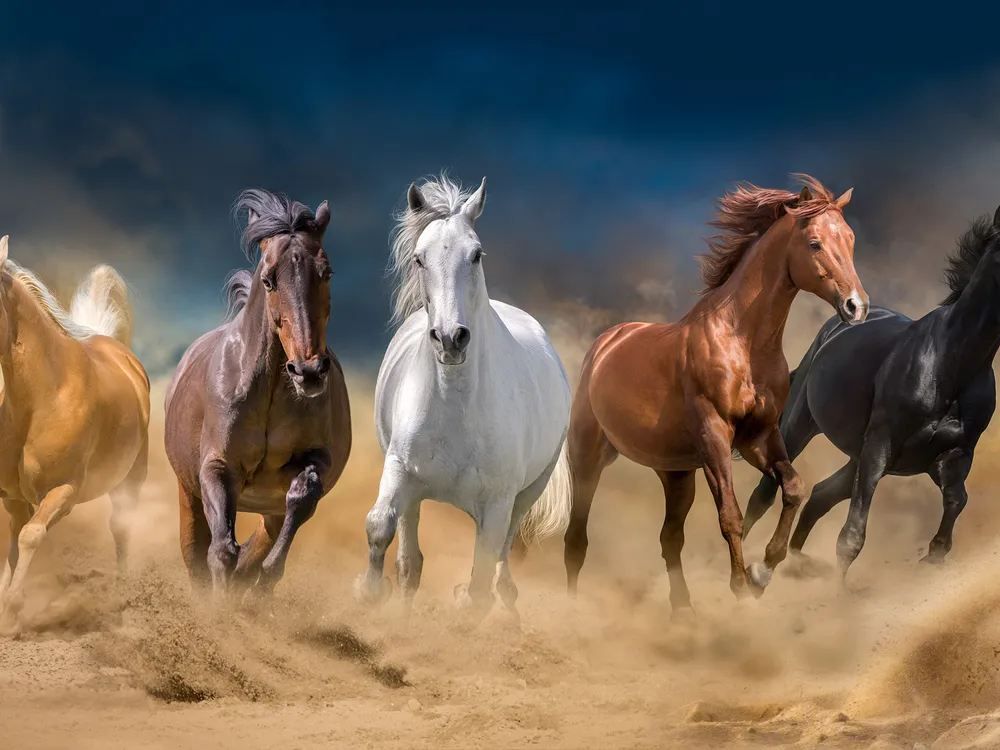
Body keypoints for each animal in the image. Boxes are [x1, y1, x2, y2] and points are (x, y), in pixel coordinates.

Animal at [0, 236, 149, 636]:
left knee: (121, 529)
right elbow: (14, 541)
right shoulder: (13, 497)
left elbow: (31, 536)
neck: (41, 397)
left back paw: (121, 597)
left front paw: (11, 616)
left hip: (131, 480)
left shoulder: (64, 490)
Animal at [164, 189, 351, 599]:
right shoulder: (217, 467)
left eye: (327, 272)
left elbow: (302, 497)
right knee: (194, 554)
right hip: (187, 494)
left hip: (267, 506)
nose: (308, 371)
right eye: (268, 280)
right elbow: (220, 551)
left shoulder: (316, 460)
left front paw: (265, 574)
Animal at [355, 175, 572, 619]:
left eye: (476, 255)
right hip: (416, 494)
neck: (457, 405)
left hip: (528, 492)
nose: (451, 338)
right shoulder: (399, 470)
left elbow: (480, 581)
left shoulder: (499, 502)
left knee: (501, 555)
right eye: (419, 258)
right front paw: (370, 594)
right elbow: (380, 526)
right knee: (410, 557)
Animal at [562, 175, 869, 614]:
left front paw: (762, 571)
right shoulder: (715, 437)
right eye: (815, 244)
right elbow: (731, 515)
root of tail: (607, 342)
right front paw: (741, 585)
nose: (856, 306)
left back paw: (684, 611)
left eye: (850, 239)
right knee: (576, 539)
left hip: (676, 474)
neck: (743, 340)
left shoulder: (760, 438)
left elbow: (792, 488)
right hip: (587, 458)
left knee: (669, 539)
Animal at [744, 206, 1000, 582]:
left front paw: (933, 556)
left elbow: (957, 500)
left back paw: (793, 564)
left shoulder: (953, 454)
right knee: (764, 495)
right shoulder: (881, 444)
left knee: (820, 495)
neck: (953, 364)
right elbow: (851, 535)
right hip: (801, 426)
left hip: (858, 456)